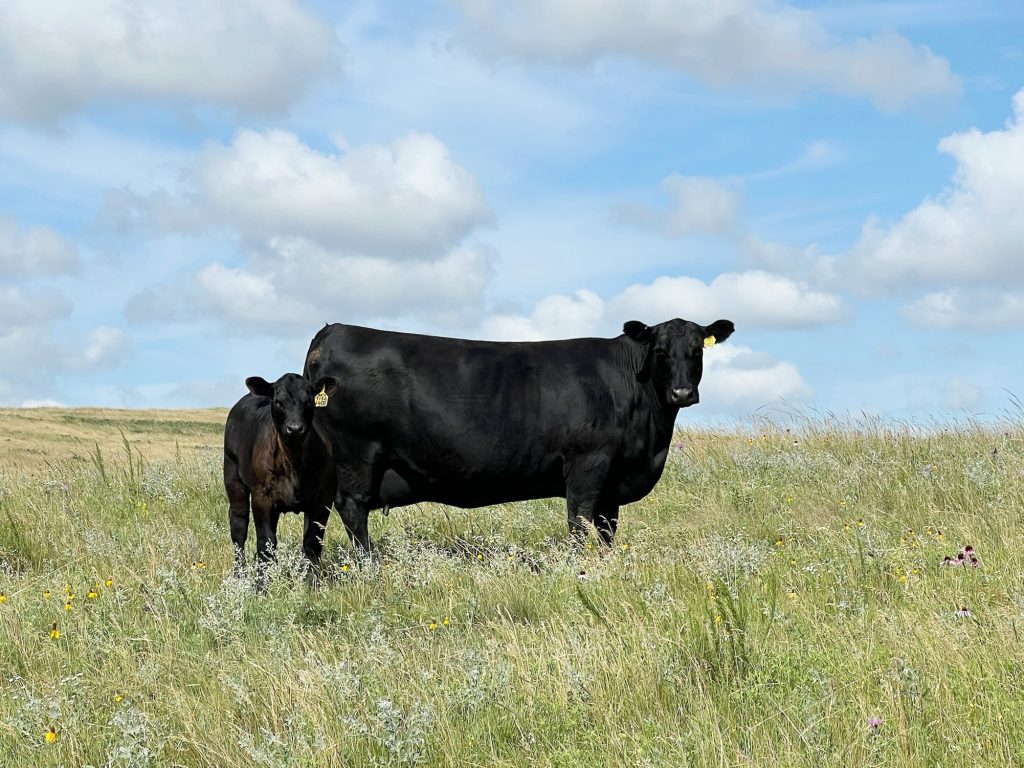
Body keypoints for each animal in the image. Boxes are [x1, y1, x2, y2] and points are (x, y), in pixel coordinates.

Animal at [223, 373, 339, 575]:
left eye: (309, 400)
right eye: (278, 402)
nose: (295, 428)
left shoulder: (323, 499)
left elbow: (312, 543)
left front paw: (313, 581)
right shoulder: (262, 497)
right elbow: (265, 544)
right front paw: (261, 582)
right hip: (233, 479)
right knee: (238, 526)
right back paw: (239, 574)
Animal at [304, 318, 734, 553]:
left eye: (697, 350)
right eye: (660, 351)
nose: (682, 392)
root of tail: (330, 333)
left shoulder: (613, 482)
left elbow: (608, 529)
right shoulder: (588, 462)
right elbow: (579, 521)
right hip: (357, 455)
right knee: (353, 509)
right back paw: (370, 566)